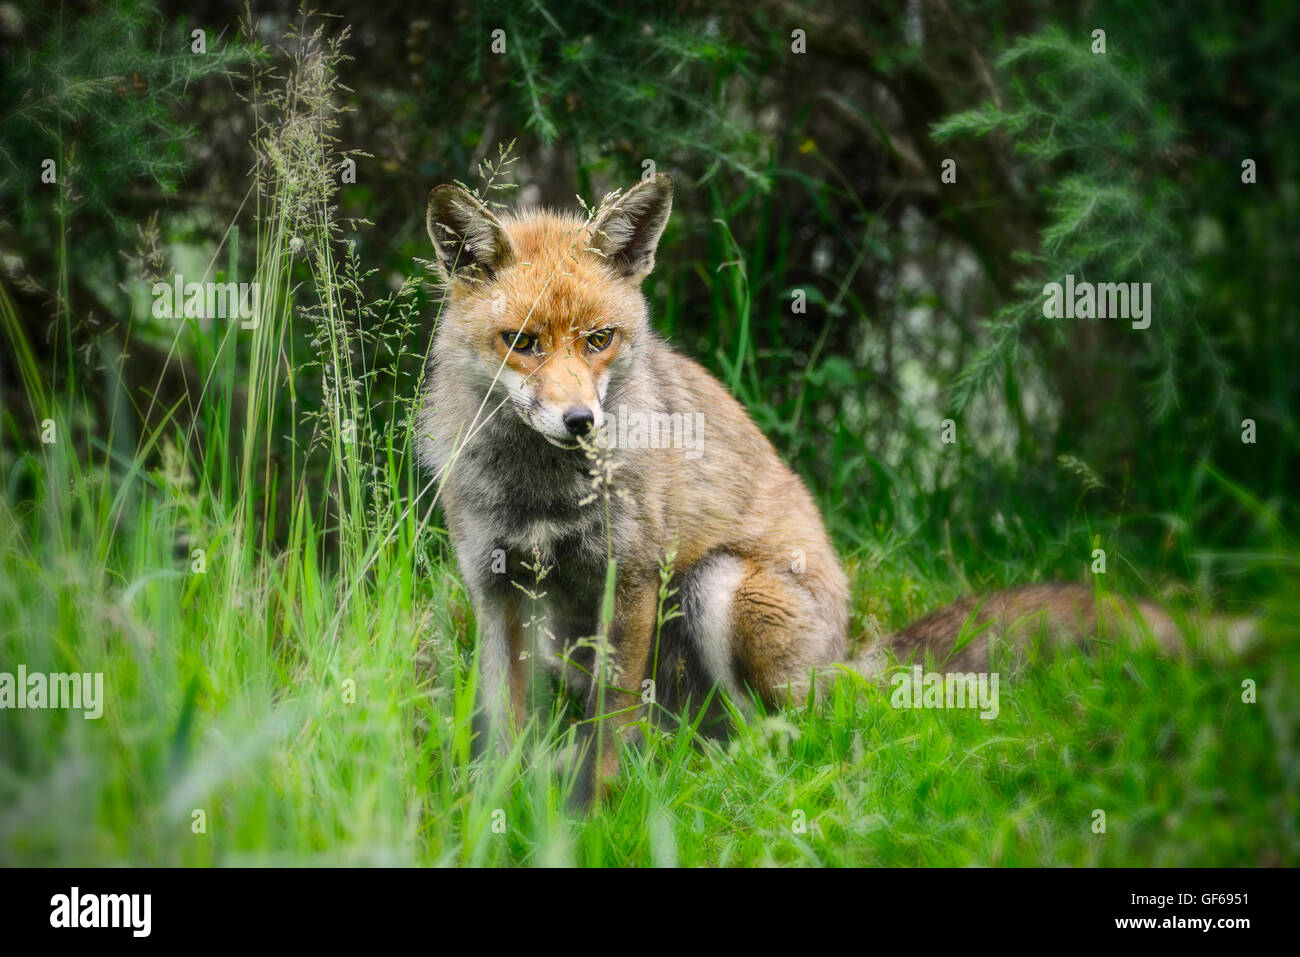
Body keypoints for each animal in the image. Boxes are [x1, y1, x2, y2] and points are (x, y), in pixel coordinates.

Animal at [416, 173, 1247, 806]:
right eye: (521, 343)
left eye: (599, 339)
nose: (581, 421)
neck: (541, 494)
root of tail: (849, 653)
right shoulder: (498, 586)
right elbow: (502, 724)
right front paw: (491, 810)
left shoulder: (633, 575)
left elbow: (610, 726)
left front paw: (594, 810)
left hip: (718, 587)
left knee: (789, 731)